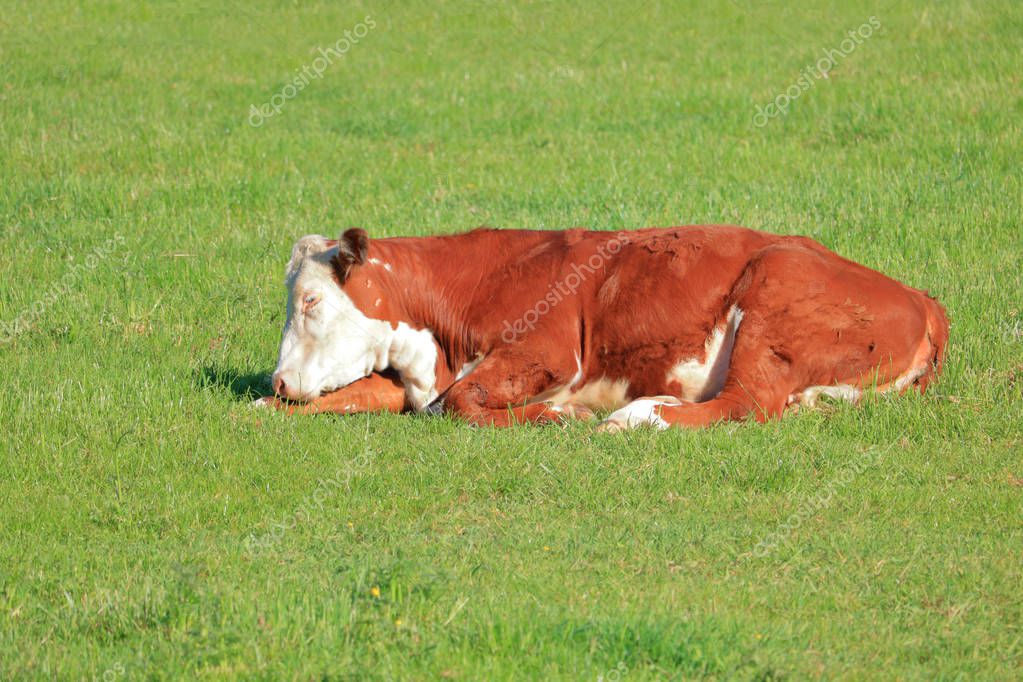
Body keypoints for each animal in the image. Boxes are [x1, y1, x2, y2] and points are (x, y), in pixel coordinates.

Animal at [257, 226, 949, 431]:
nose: (280, 379)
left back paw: (637, 417)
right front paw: (266, 404)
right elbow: (362, 394)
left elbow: (464, 401)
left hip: (772, 294)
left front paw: (557, 416)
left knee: (747, 404)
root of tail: (921, 296)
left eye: (311, 300)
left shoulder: (548, 348)